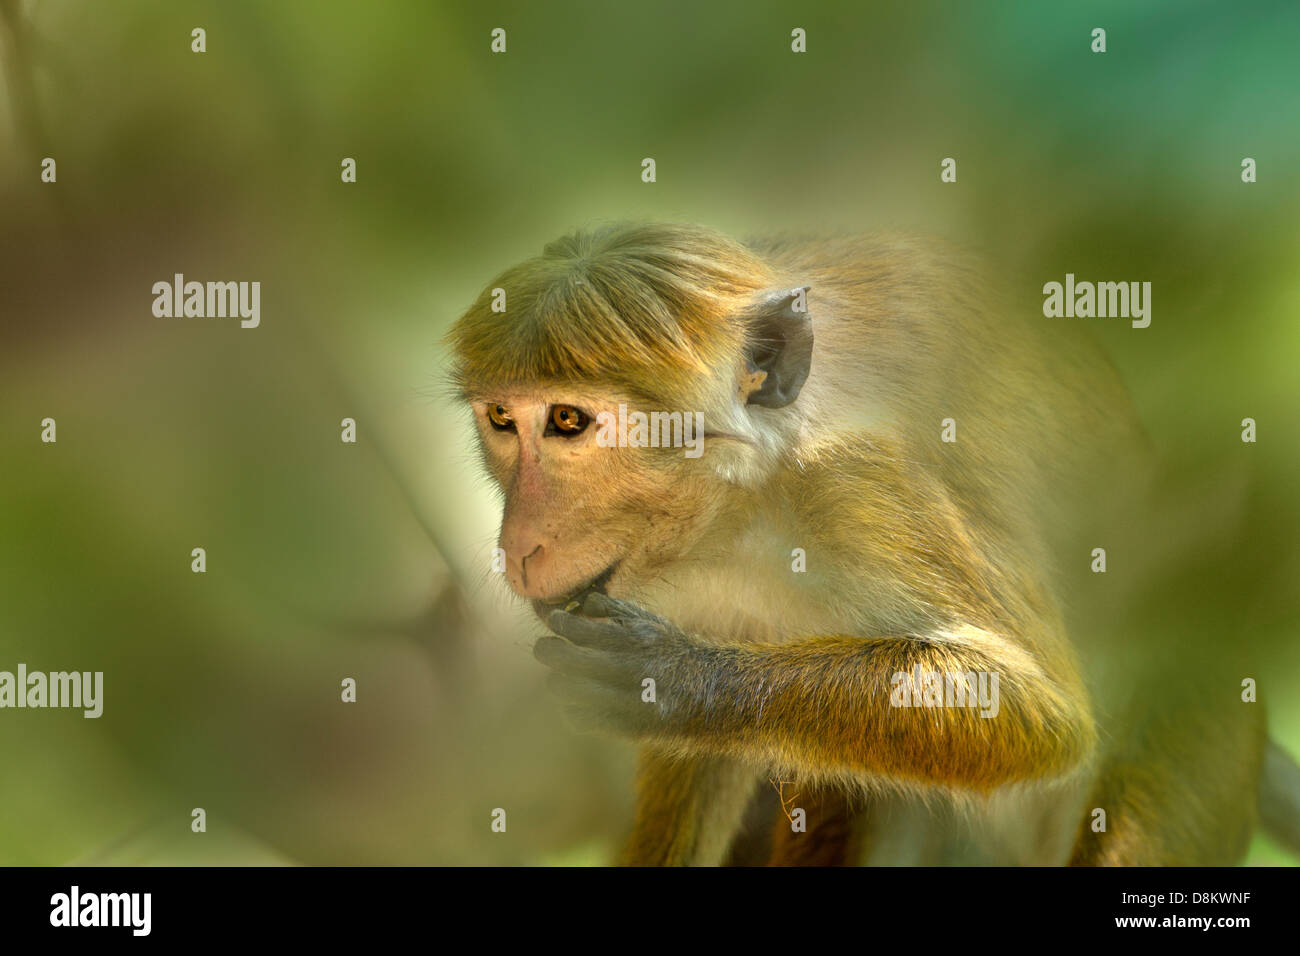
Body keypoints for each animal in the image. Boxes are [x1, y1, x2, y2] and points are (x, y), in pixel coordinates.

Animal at [447, 221, 1295, 866]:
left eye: (568, 421)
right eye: (503, 421)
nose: (516, 543)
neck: (744, 509)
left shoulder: (863, 483)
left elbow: (1037, 709)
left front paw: (681, 681)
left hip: (1198, 722)